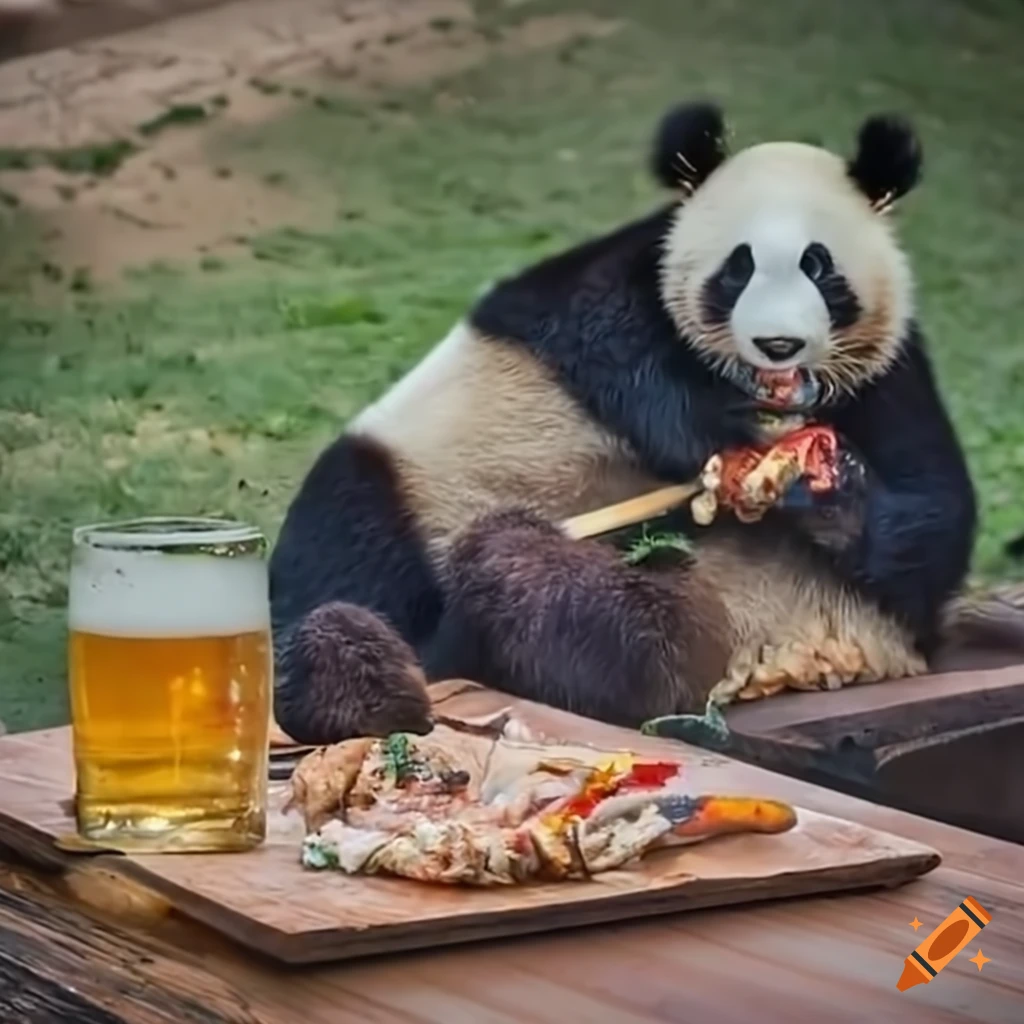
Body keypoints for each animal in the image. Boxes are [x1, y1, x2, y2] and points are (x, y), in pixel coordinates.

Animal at [268, 101, 977, 745]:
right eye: (740, 267)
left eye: (818, 265)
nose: (777, 345)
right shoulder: (609, 290)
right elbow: (611, 344)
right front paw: (722, 421)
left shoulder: (888, 375)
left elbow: (931, 520)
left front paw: (826, 487)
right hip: (414, 481)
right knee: (347, 548)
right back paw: (362, 682)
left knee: (588, 621)